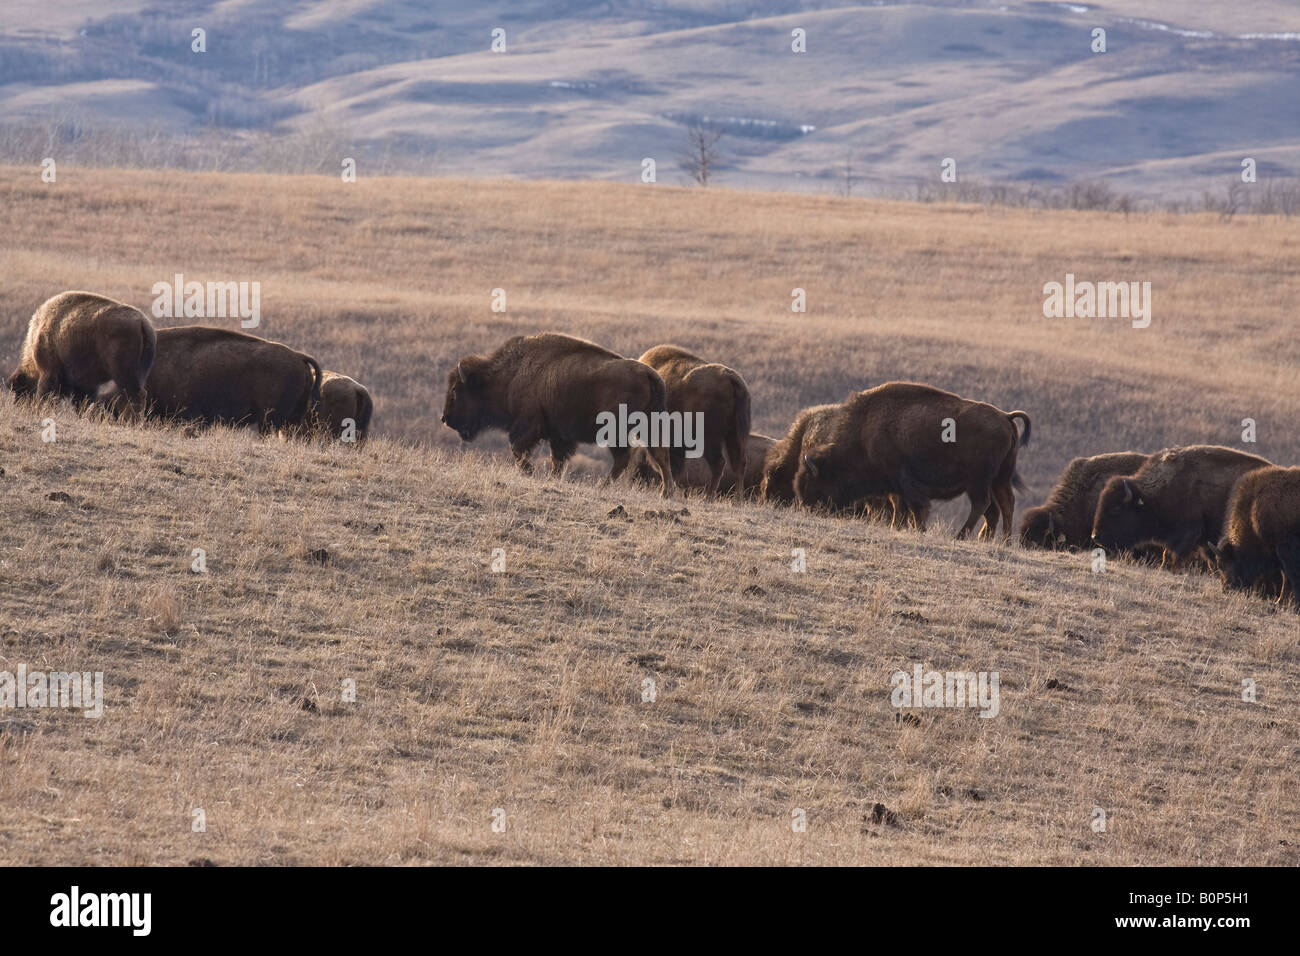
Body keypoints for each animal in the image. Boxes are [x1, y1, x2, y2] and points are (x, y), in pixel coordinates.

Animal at [442, 332, 675, 495]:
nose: (445, 419)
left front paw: (530, 473)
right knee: (659, 454)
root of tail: (649, 374)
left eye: (456, 390)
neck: (511, 375)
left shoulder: (528, 426)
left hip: (616, 432)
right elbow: (557, 460)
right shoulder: (559, 436)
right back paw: (666, 493)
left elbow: (518, 450)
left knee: (624, 458)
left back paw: (603, 486)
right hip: (648, 426)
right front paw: (551, 479)